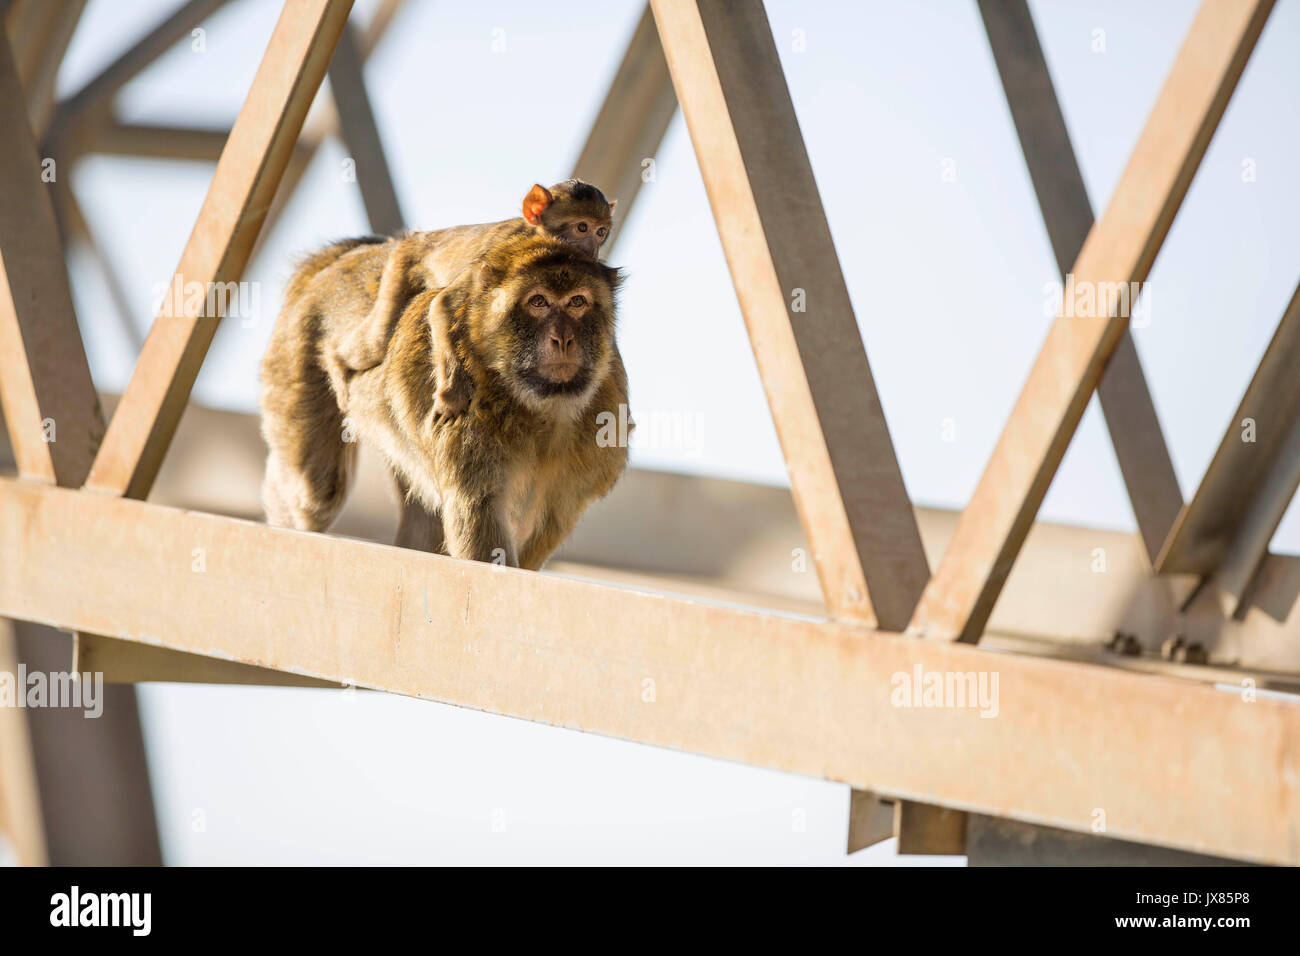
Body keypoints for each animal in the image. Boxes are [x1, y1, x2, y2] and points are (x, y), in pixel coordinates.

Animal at [259, 228, 630, 571]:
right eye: (538, 302)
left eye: (577, 302)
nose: (563, 339)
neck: (545, 411)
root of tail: (343, 259)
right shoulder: (468, 411)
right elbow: (480, 513)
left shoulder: (602, 425)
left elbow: (545, 524)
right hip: (297, 348)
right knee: (315, 493)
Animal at [330, 179, 615, 421]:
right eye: (582, 227)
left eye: (601, 232)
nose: (592, 250)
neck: (534, 233)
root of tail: (417, 238)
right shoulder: (499, 254)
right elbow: (444, 304)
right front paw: (452, 394)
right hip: (401, 265)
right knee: (379, 337)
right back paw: (337, 361)